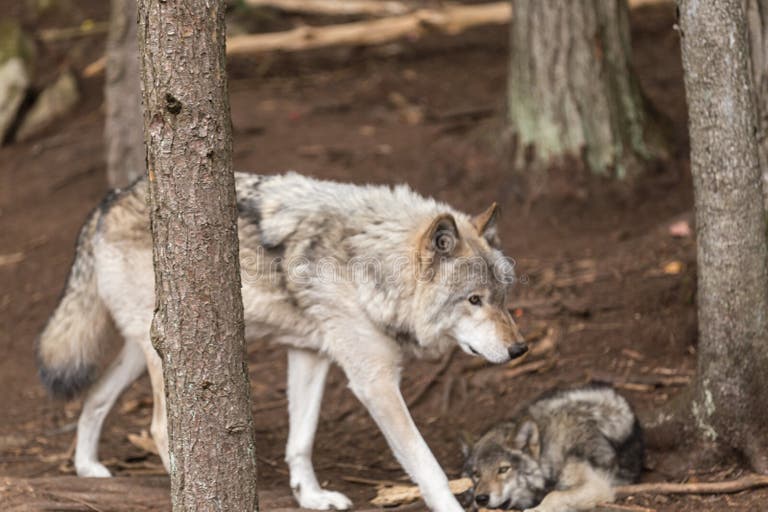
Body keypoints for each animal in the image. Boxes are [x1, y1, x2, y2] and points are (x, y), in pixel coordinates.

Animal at [37, 172, 528, 511]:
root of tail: (110, 198)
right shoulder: (374, 381)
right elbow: (427, 466)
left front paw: (311, 497)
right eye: (473, 300)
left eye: (503, 298)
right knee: (158, 427)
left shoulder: (310, 355)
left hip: (143, 351)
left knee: (95, 396)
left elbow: (301, 441)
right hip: (162, 358)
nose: (519, 349)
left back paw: (87, 468)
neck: (367, 264)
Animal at [462, 385, 643, 512]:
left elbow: (553, 495)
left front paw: (537, 509)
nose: (481, 499)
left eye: (503, 469)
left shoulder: (596, 485)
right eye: (477, 474)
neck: (548, 448)